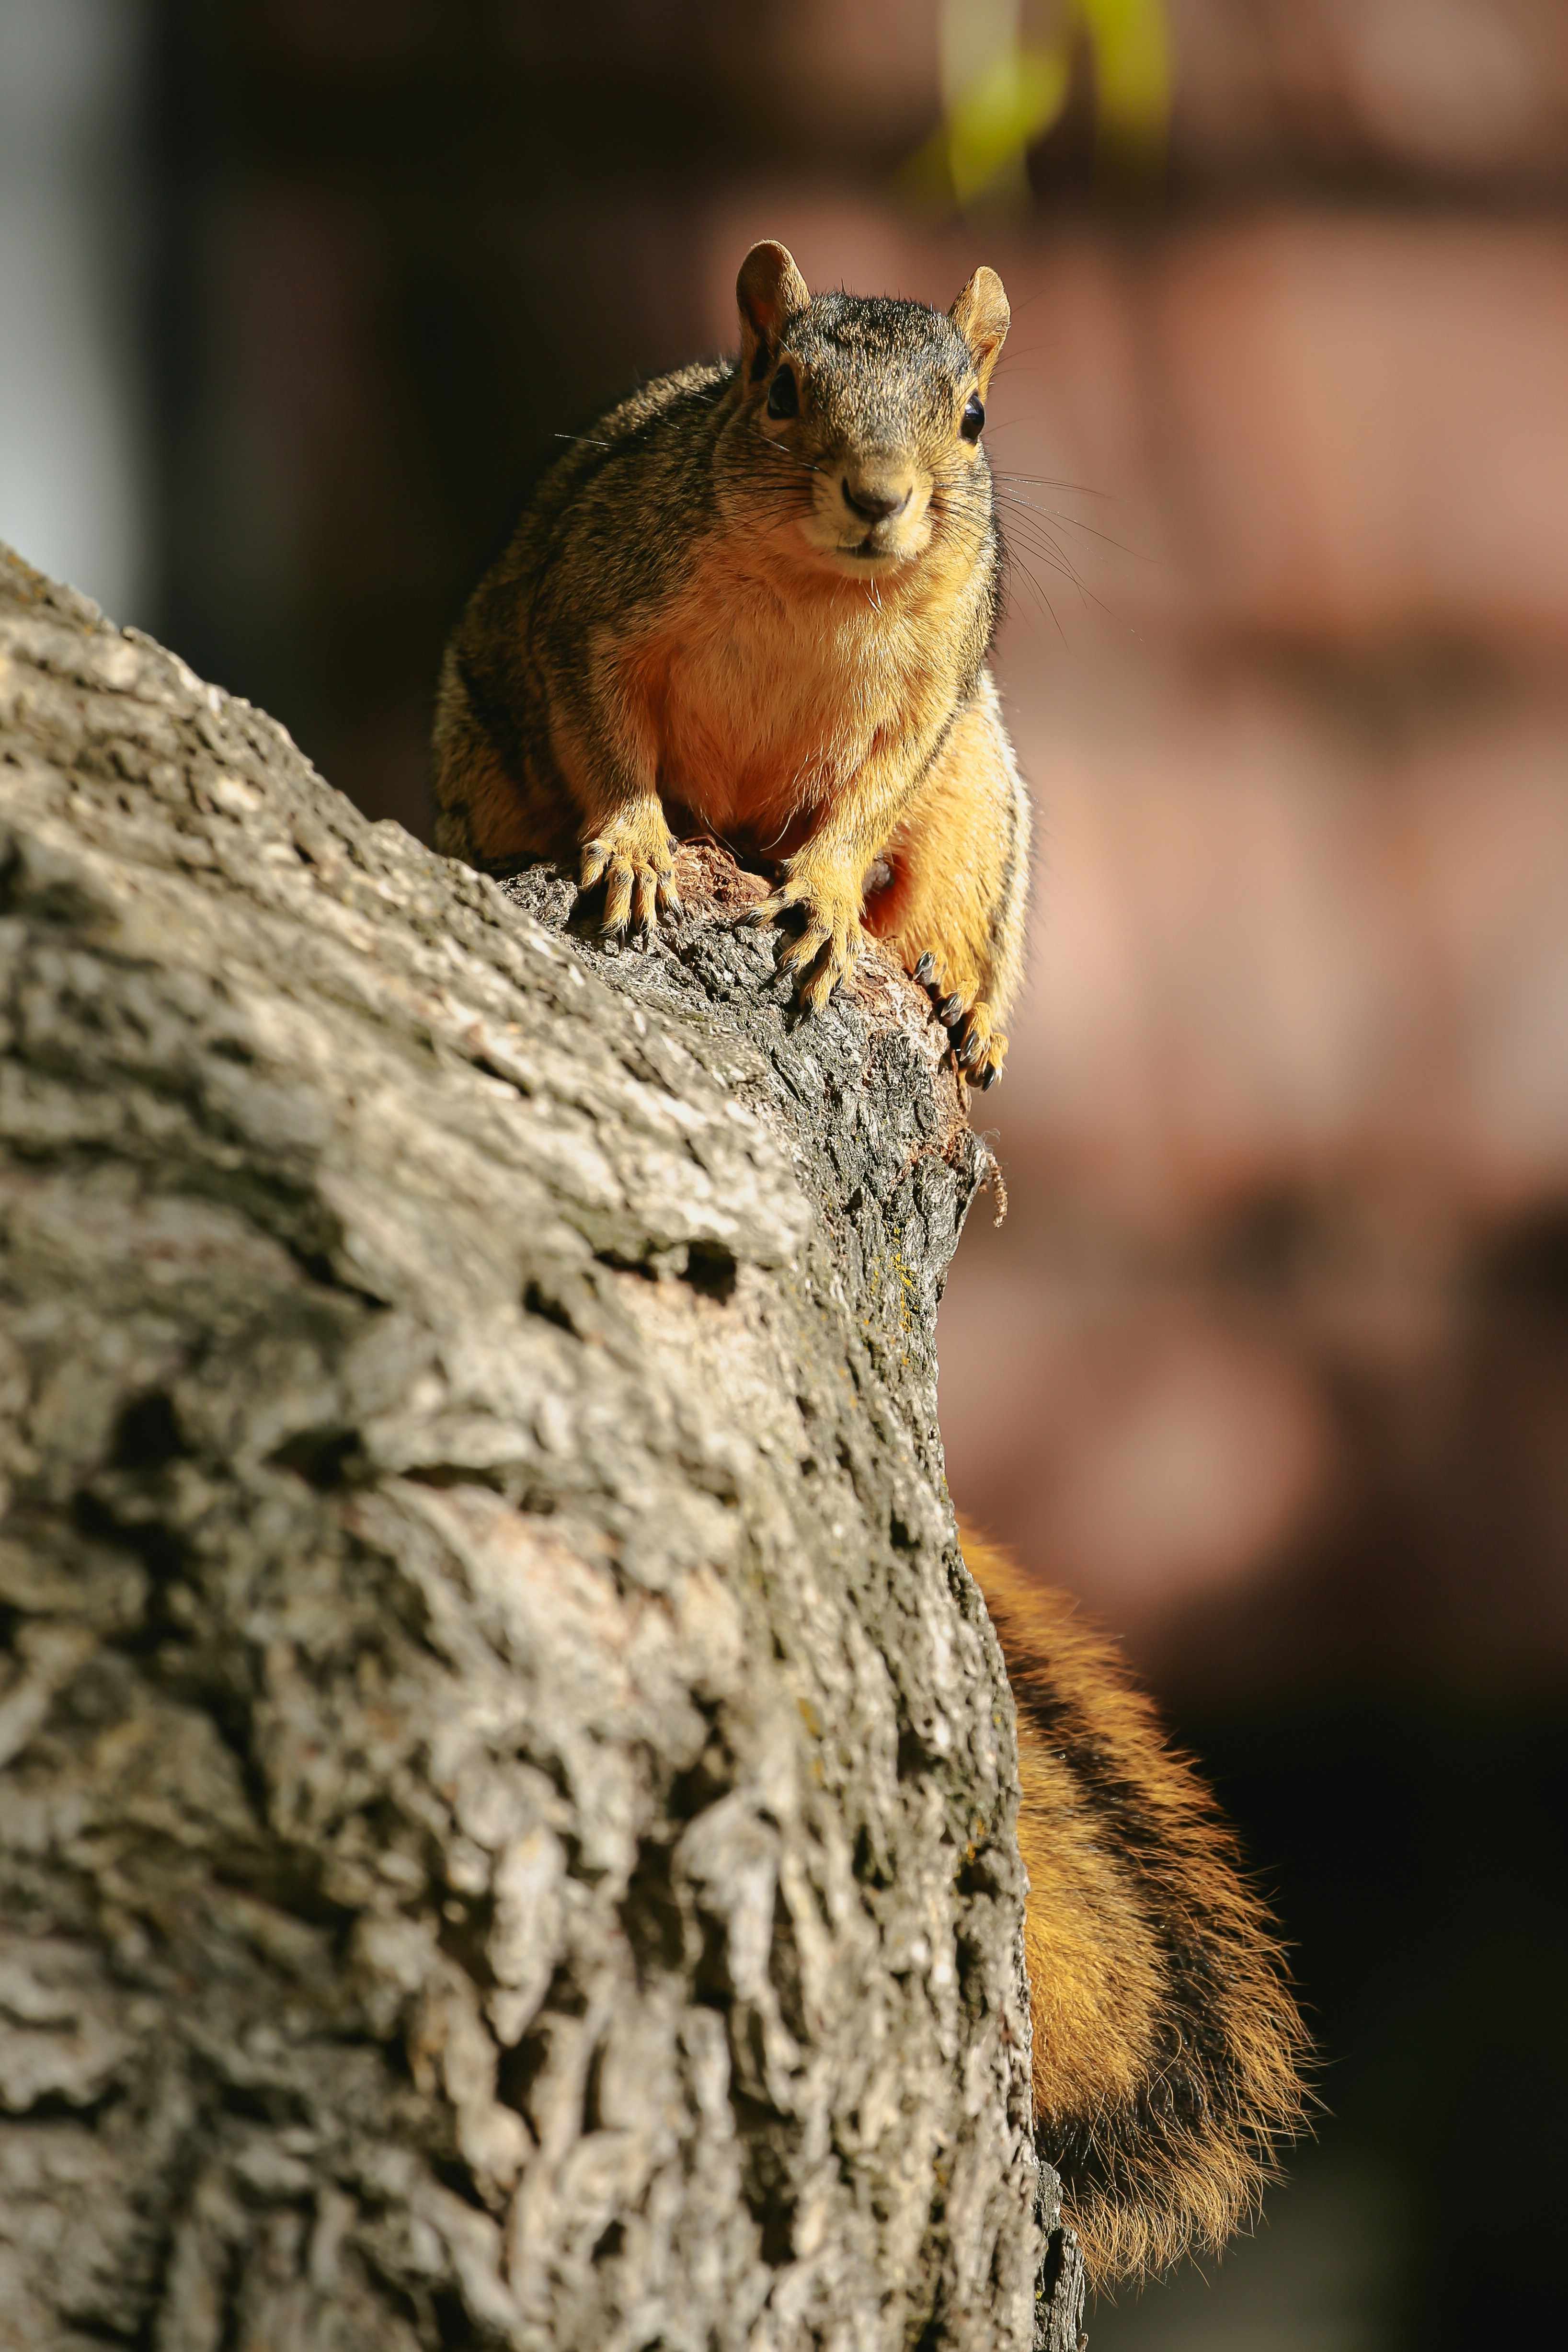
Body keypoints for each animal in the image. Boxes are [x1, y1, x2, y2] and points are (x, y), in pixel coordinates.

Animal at [432, 238, 1030, 1088]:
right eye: (781, 390)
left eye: (972, 417)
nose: (877, 497)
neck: (825, 589)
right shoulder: (590, 608)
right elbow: (605, 742)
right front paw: (635, 845)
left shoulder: (937, 694)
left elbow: (876, 796)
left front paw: (825, 895)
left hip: (976, 800)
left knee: (959, 911)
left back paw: (968, 1010)